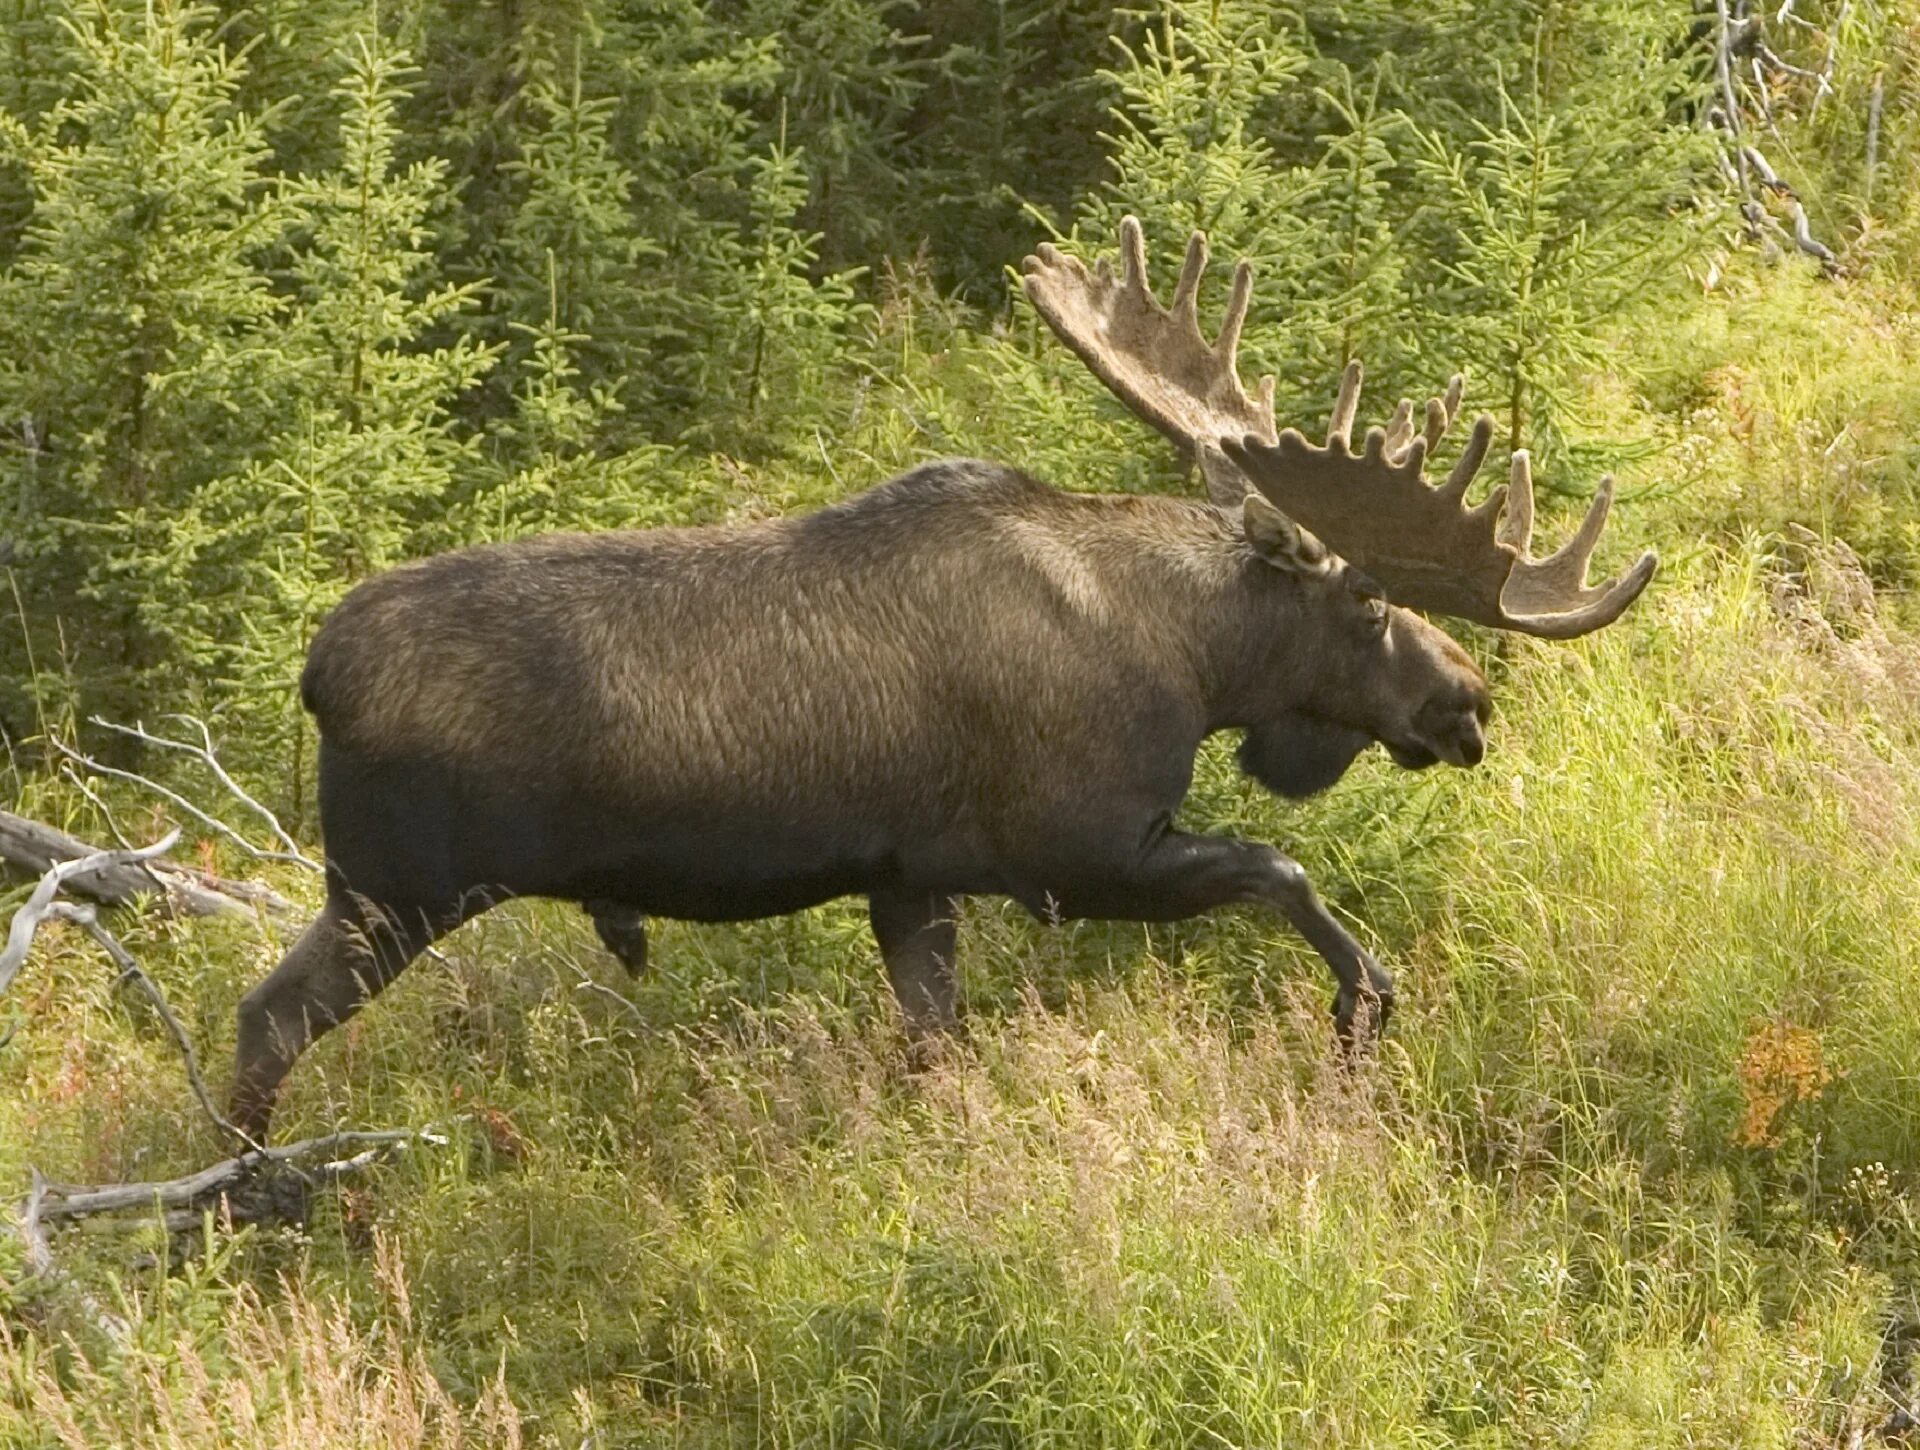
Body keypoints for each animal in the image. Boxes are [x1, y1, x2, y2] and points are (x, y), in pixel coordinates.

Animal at [232, 220, 1658, 1136]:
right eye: (1367, 599)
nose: (1466, 703)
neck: (1191, 657)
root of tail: (315, 675)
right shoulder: (1073, 848)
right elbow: (1282, 868)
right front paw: (1364, 1009)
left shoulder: (912, 880)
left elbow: (935, 1047)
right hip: (397, 890)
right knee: (265, 1021)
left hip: (379, 892)